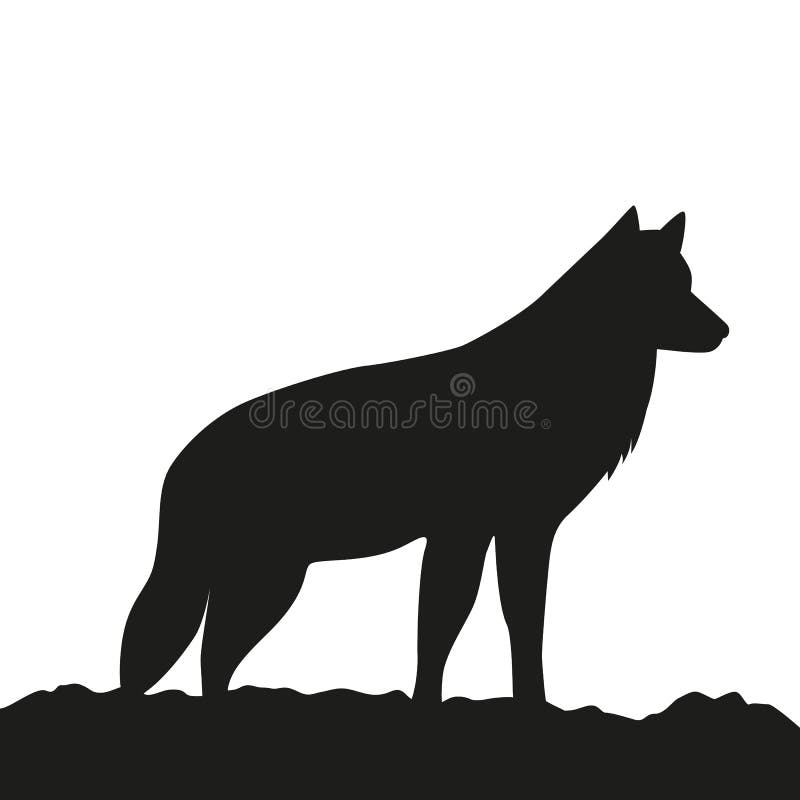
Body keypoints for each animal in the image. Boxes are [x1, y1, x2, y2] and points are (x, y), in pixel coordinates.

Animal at [120, 208, 728, 702]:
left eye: (688, 282)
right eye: (665, 287)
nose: (724, 330)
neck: (555, 375)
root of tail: (182, 461)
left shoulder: (519, 532)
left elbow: (516, 622)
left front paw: (531, 704)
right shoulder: (469, 531)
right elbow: (443, 623)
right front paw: (428, 705)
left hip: (268, 577)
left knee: (212, 650)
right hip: (268, 578)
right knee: (199, 649)